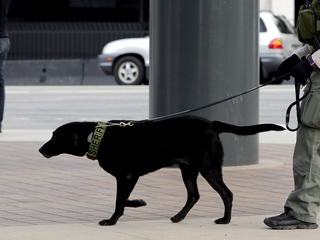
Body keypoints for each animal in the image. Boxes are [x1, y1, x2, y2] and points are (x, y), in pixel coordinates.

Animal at [38, 115, 284, 226]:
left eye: (55, 136)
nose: (40, 149)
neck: (97, 137)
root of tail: (213, 123)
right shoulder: (129, 177)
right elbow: (123, 199)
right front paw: (138, 202)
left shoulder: (127, 176)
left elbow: (119, 200)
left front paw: (112, 220)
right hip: (187, 169)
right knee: (194, 195)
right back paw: (179, 216)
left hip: (208, 168)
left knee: (227, 193)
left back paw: (225, 220)